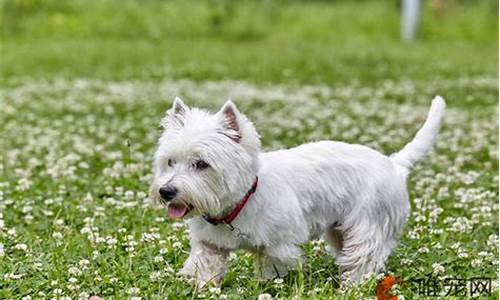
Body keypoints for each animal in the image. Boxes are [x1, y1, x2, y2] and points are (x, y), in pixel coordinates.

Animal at [148, 96, 446, 286]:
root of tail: (395, 164)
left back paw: (350, 288)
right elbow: (204, 265)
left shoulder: (280, 243)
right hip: (339, 230)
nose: (166, 191)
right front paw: (196, 284)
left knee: (362, 260)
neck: (239, 203)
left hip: (367, 225)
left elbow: (272, 263)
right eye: (170, 161)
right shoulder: (211, 244)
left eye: (201, 164)